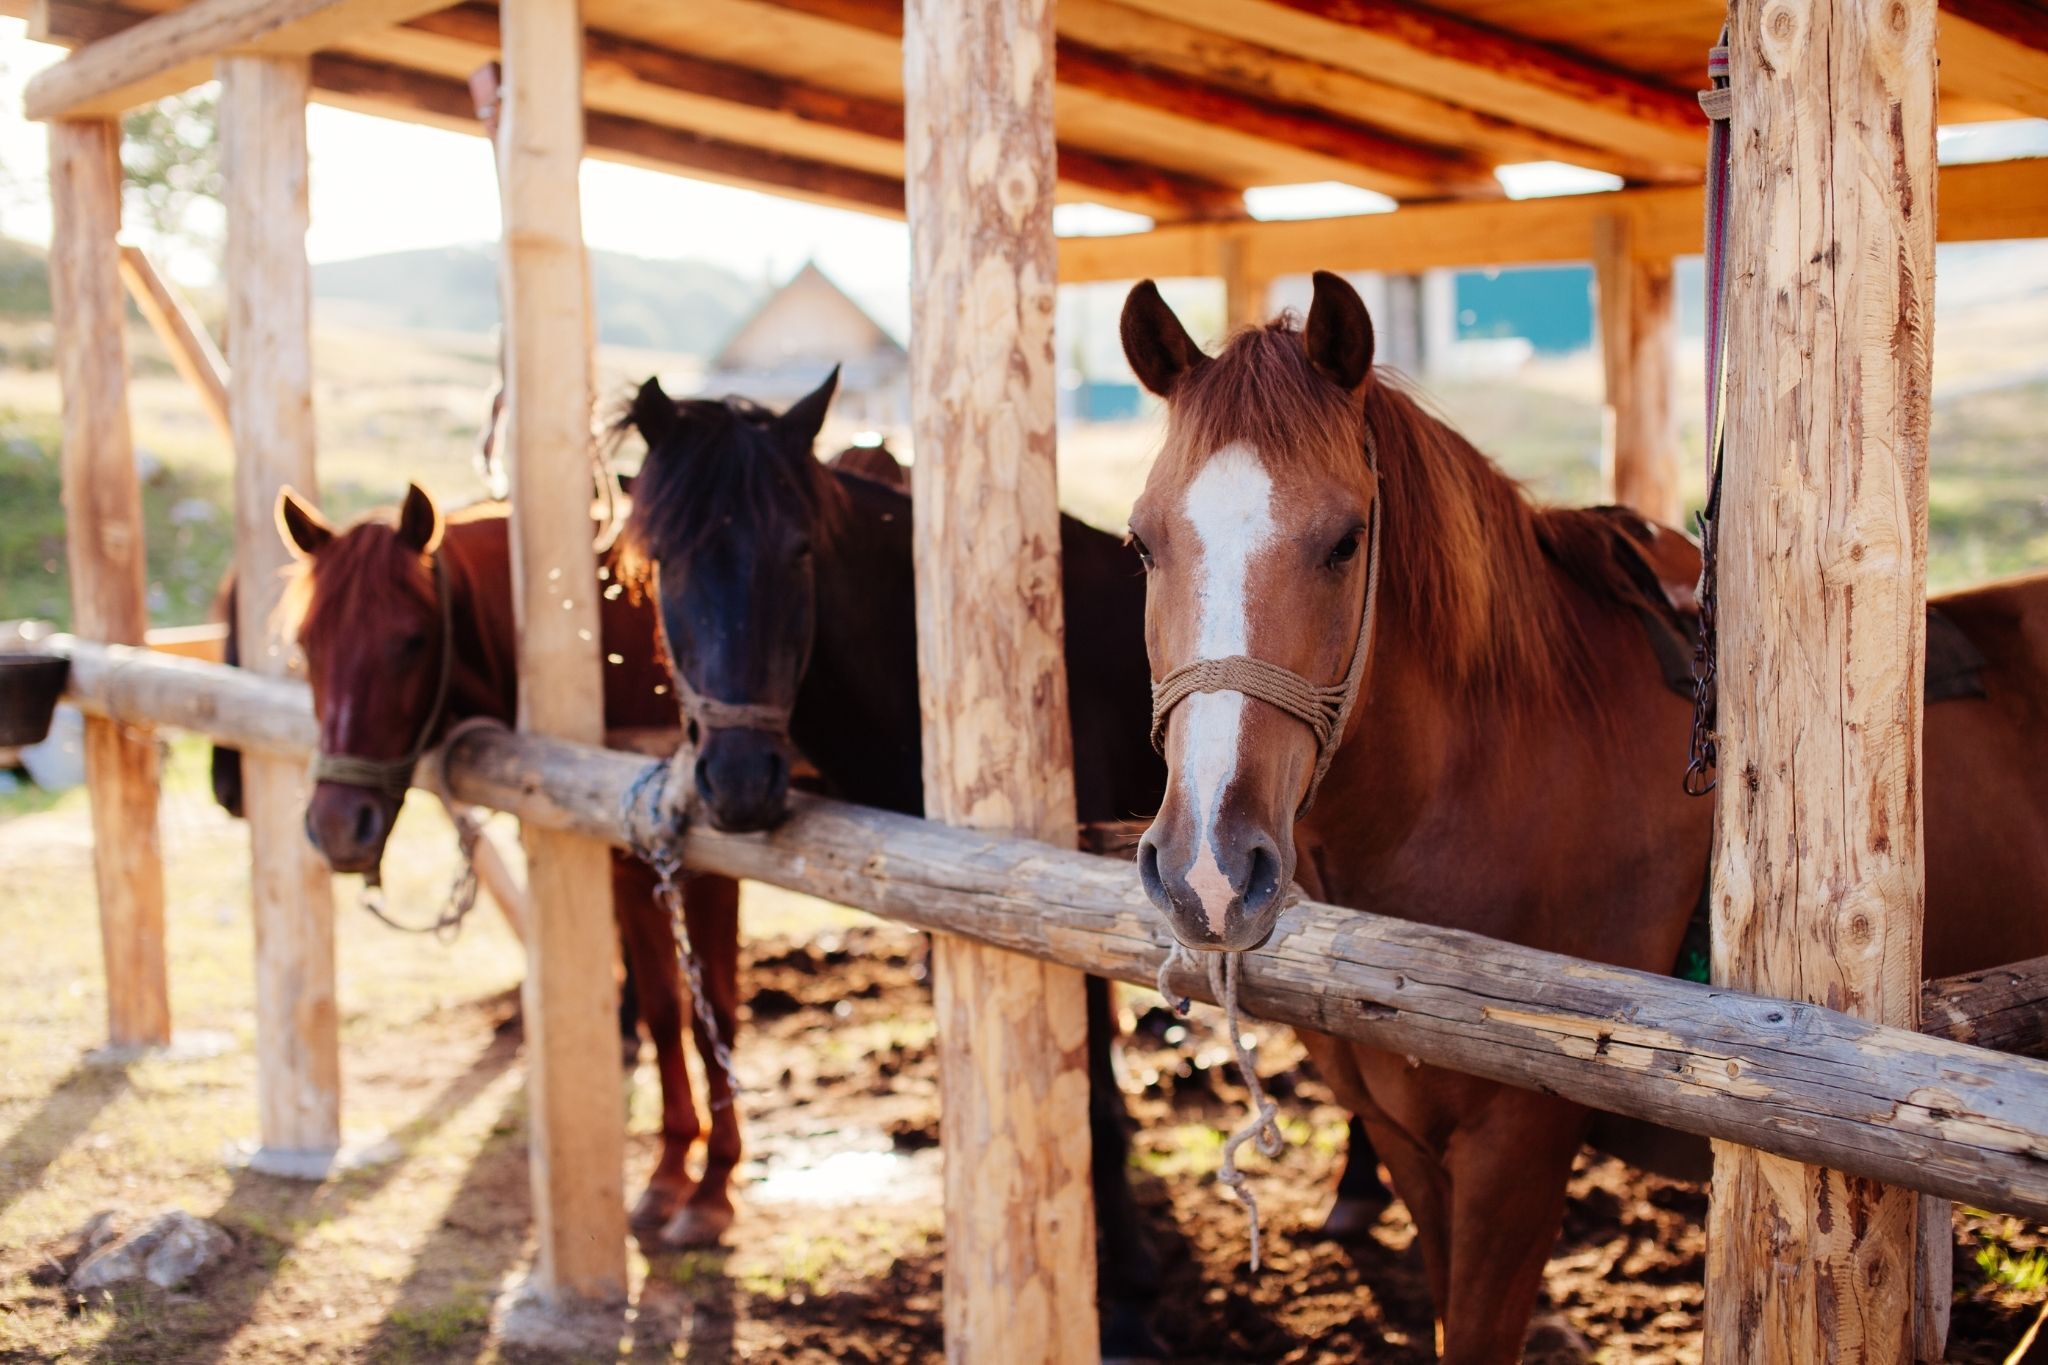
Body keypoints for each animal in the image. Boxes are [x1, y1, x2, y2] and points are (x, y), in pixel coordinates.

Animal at [270, 484, 747, 1249]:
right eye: (307, 644)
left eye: (412, 640)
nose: (340, 826)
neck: (616, 632)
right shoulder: (625, 859)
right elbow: (665, 1009)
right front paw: (670, 1174)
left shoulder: (705, 871)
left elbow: (715, 1020)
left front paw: (713, 1189)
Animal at [1118, 271, 2048, 1362]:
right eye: (1142, 545)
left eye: (1344, 541)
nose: (1208, 870)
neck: (1486, 779)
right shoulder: (1408, 1144)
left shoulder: (1513, 1153)